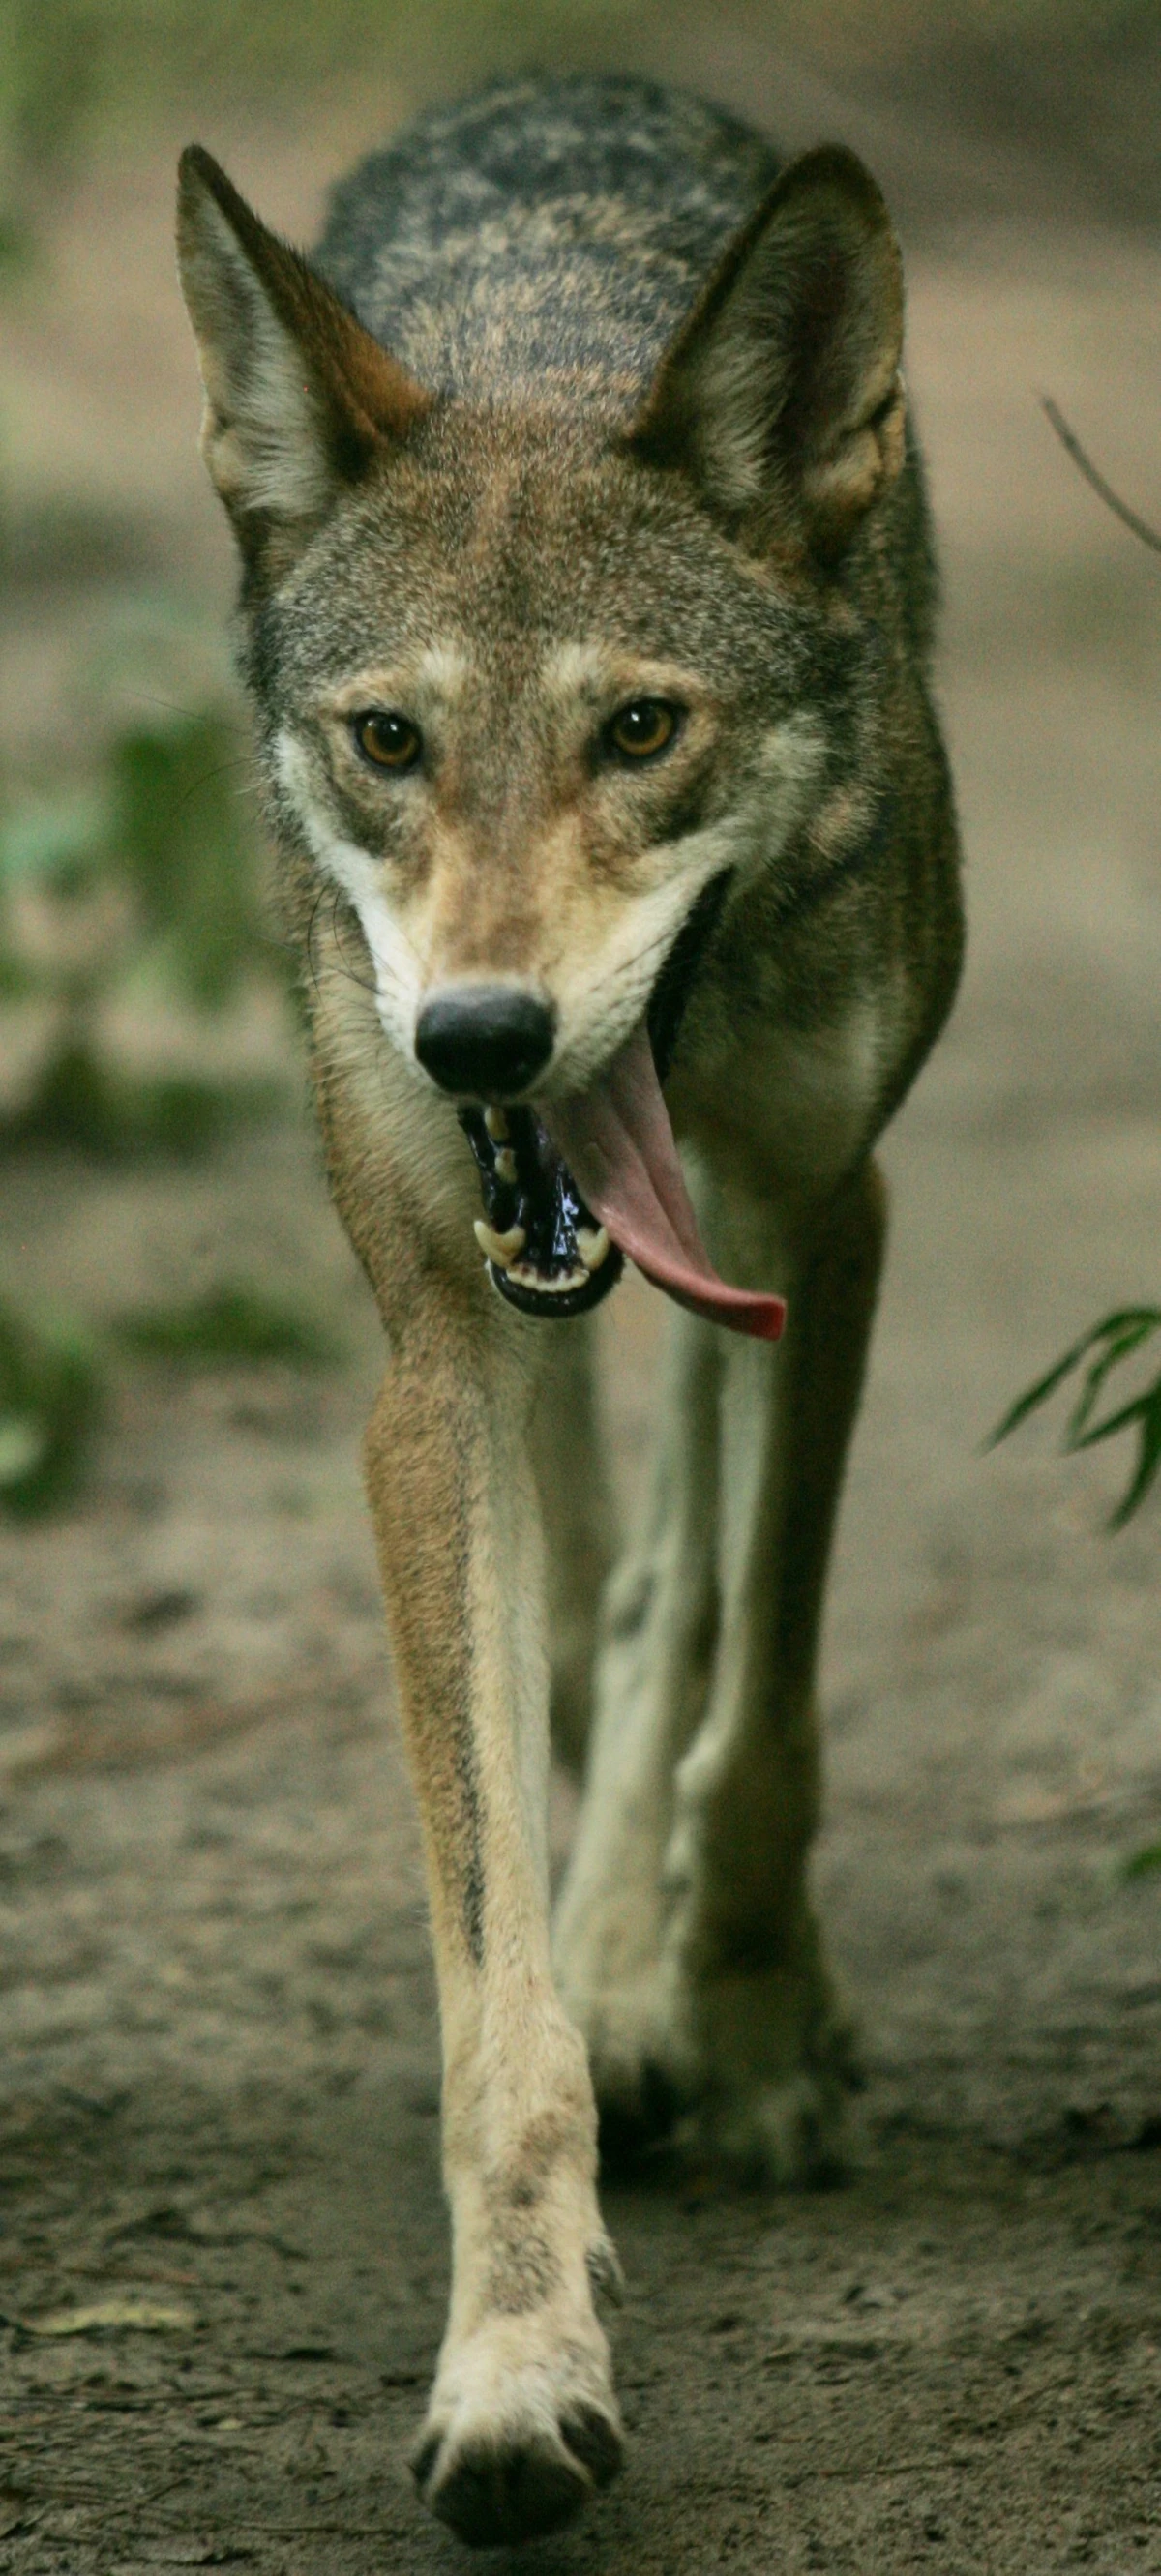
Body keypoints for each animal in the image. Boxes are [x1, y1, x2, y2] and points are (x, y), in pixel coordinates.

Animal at [176, 73, 962, 2548]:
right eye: (387, 743)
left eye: (638, 730)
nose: (481, 1039)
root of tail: (556, 85)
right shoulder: (437, 1362)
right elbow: (490, 1981)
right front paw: (519, 2361)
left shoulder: (827, 1213)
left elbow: (767, 1700)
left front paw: (746, 2021)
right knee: (622, 1588)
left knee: (682, 1597)